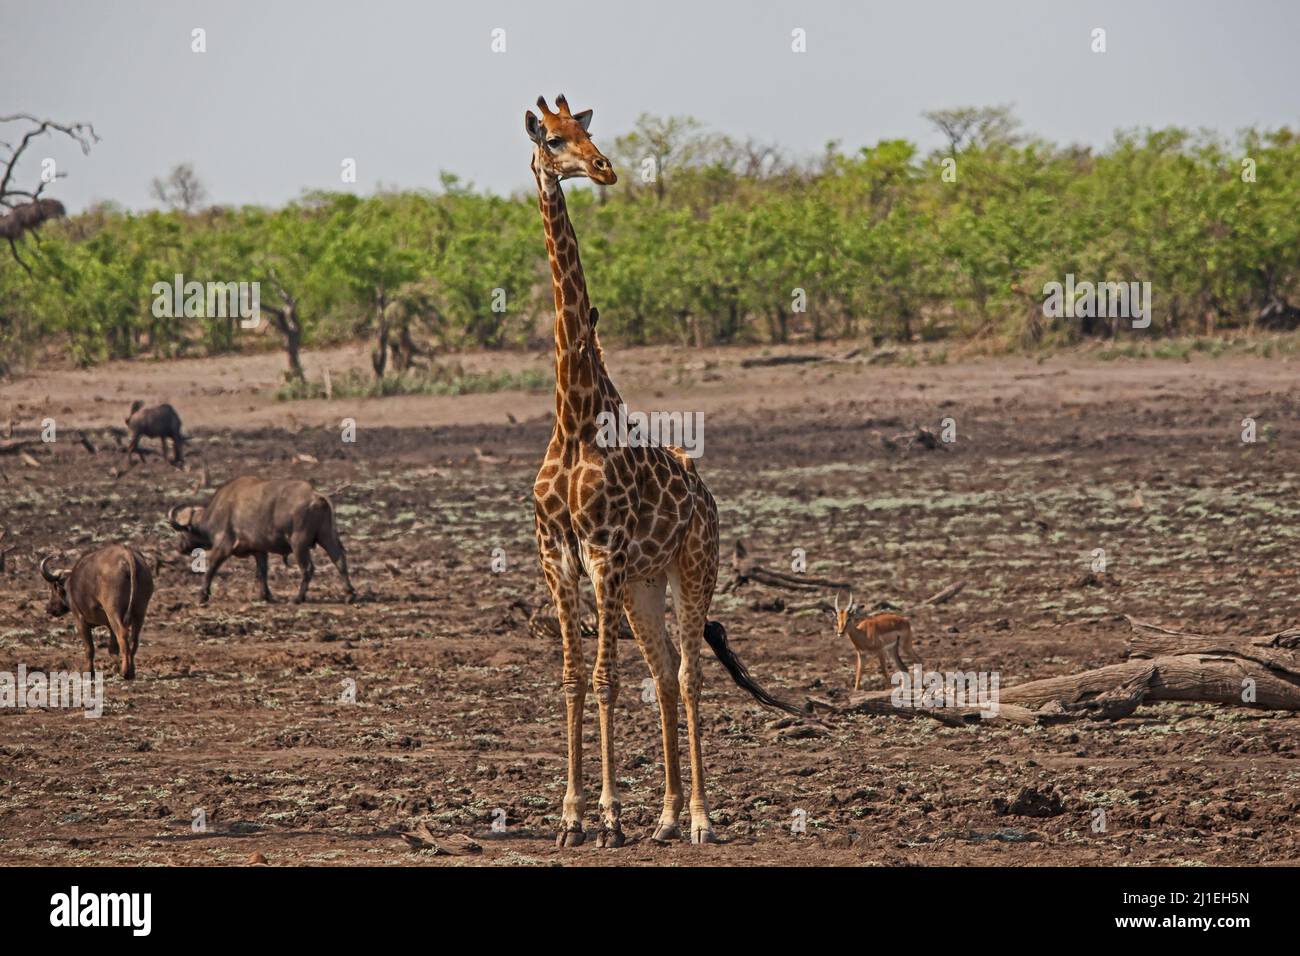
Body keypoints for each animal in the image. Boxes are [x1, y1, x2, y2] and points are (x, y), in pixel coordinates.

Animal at [525, 94, 800, 848]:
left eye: (589, 132)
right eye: (553, 138)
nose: (603, 168)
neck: (573, 417)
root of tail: (706, 496)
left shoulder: (604, 554)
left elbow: (605, 680)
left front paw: (609, 818)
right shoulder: (558, 557)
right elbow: (572, 678)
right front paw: (571, 818)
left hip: (691, 565)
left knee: (691, 674)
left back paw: (700, 818)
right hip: (646, 586)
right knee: (668, 677)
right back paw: (669, 816)